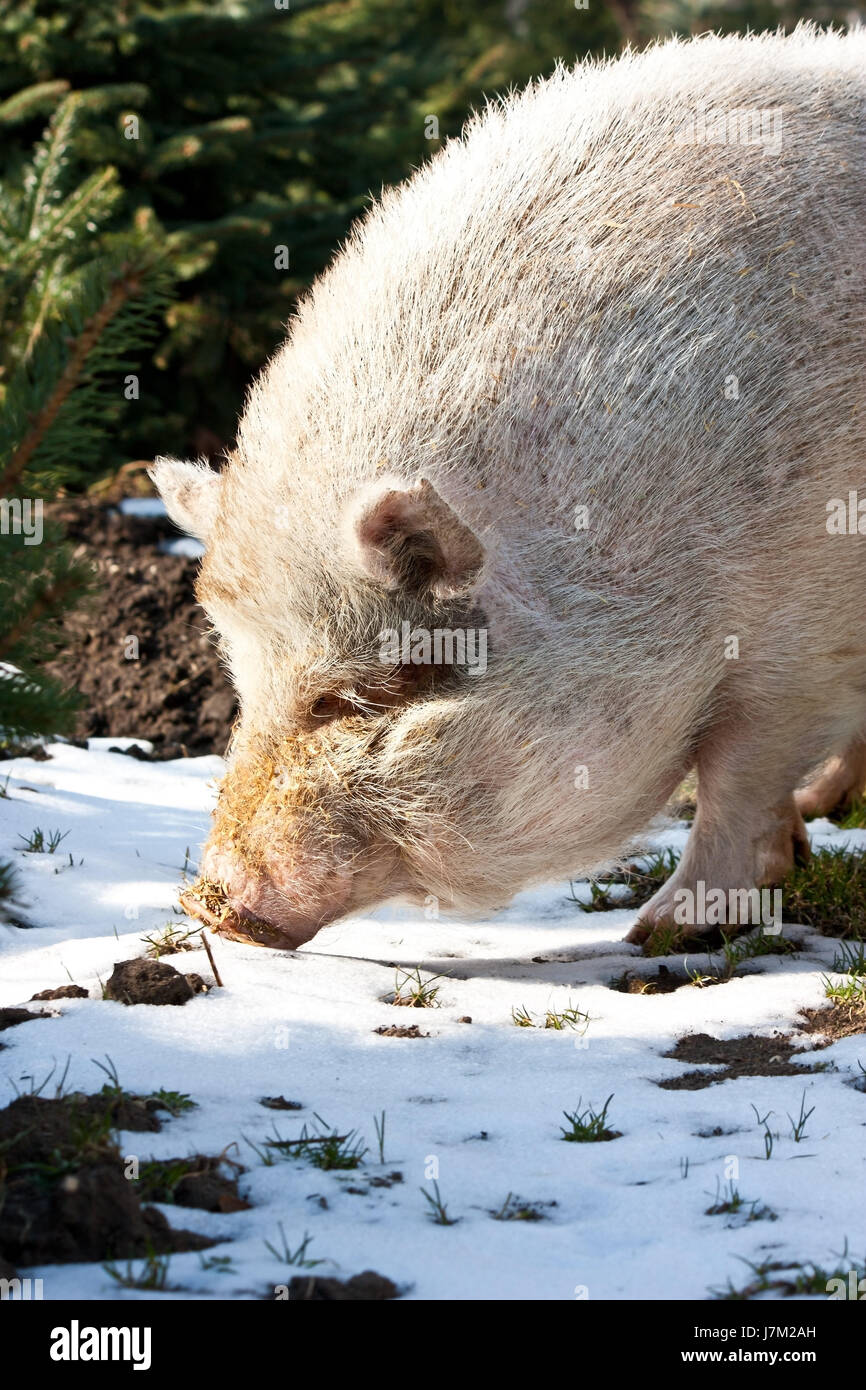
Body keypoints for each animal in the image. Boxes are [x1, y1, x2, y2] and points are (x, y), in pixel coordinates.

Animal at [153, 25, 866, 950]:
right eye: (241, 687)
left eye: (344, 699)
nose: (210, 903)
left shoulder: (797, 648)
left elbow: (736, 786)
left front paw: (659, 936)